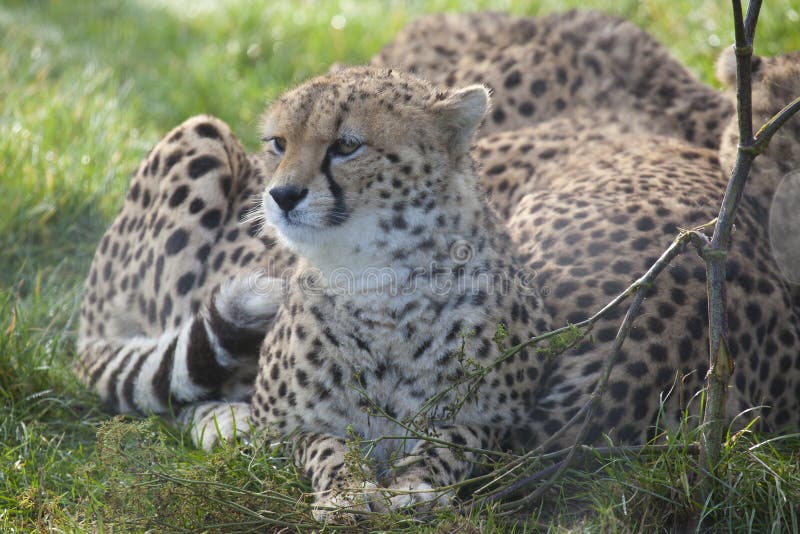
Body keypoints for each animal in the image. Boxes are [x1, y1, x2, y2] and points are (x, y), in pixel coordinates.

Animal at [75, 28, 800, 524]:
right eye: (279, 143)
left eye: (347, 145)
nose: (279, 195)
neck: (378, 283)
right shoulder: (292, 422)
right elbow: (325, 445)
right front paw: (347, 492)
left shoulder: (492, 420)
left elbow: (450, 442)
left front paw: (412, 487)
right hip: (196, 138)